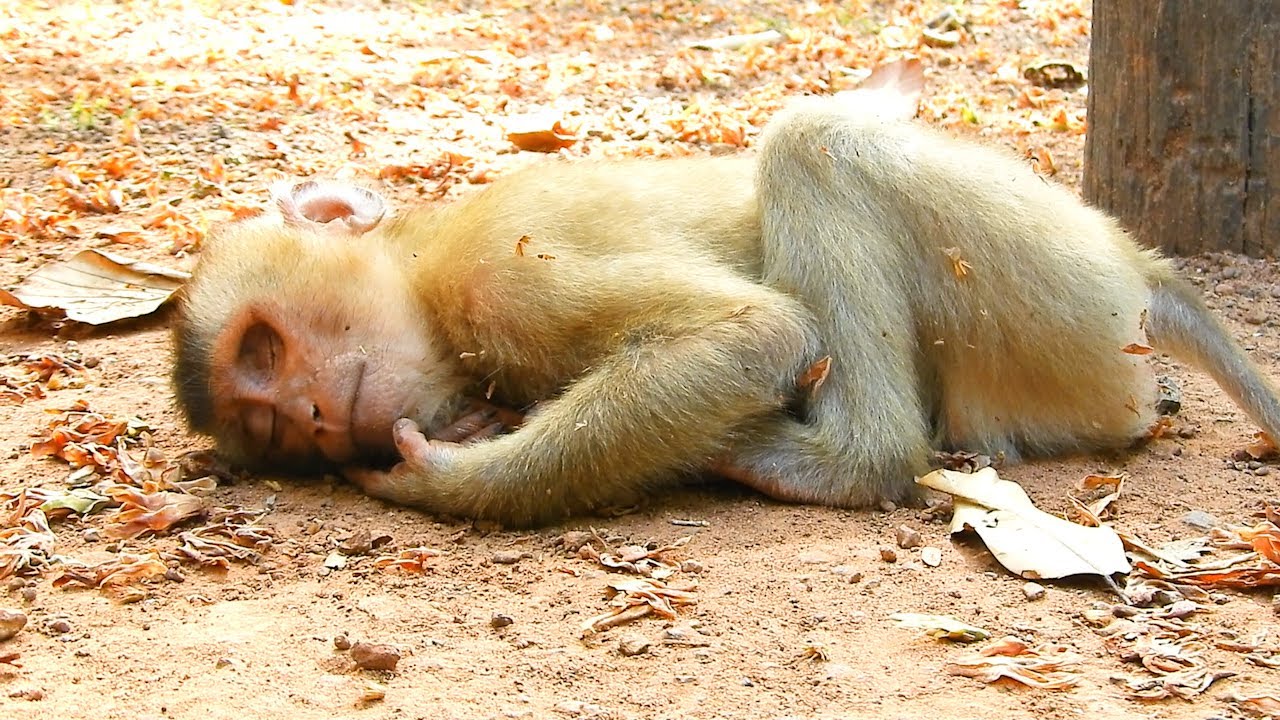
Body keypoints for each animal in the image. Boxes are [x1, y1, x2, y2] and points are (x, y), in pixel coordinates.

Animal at [172, 95, 1280, 527]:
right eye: (272, 430)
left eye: (265, 351)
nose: (312, 415)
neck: (421, 268)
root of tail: (1130, 260)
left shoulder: (494, 275)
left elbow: (759, 335)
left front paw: (445, 479)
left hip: (1059, 296)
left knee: (816, 140)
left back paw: (843, 462)